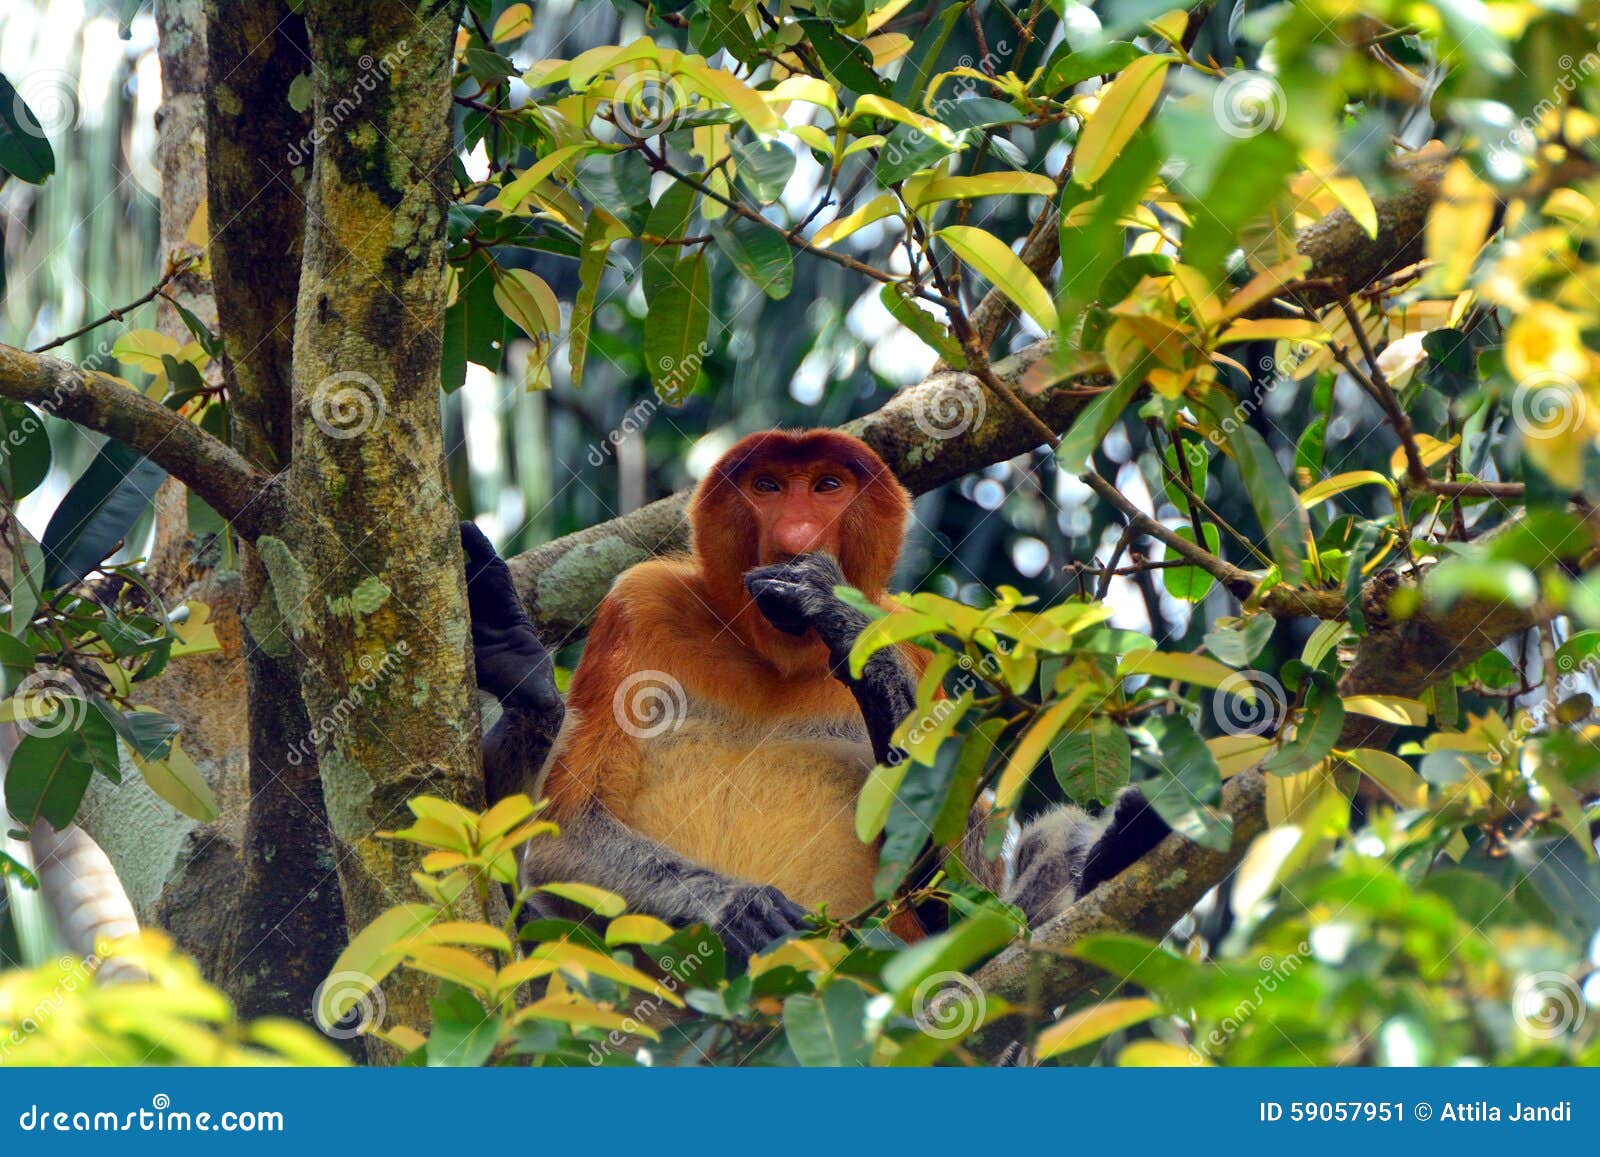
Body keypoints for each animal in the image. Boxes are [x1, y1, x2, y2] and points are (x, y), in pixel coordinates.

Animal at [461, 429, 1172, 962]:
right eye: (768, 487)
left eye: (828, 487)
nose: (798, 535)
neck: (774, 661)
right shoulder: (640, 605)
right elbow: (565, 836)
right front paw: (740, 907)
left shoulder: (920, 645)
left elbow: (957, 894)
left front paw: (838, 617)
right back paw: (512, 659)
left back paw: (1124, 844)